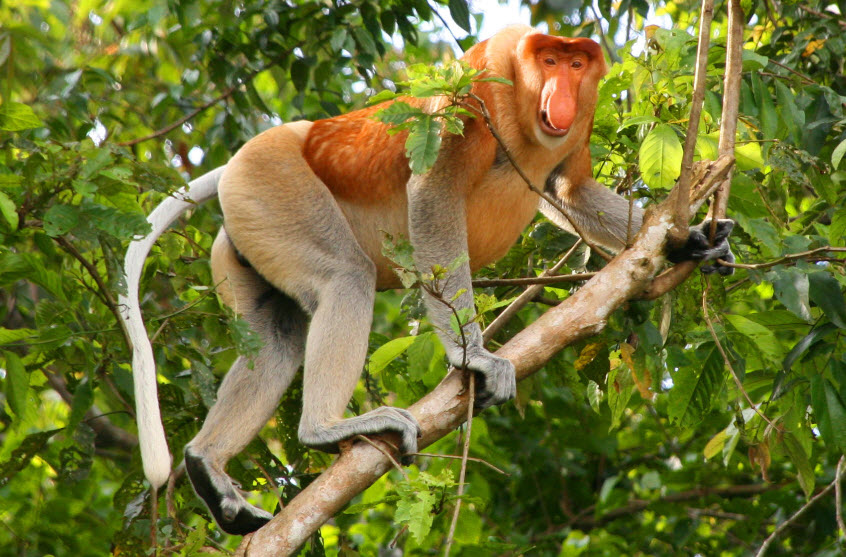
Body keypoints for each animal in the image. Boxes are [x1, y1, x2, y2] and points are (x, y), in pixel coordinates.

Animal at [120, 25, 734, 536]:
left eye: (578, 64)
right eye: (550, 59)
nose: (562, 86)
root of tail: (241, 162)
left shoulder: (580, 123)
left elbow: (571, 189)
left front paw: (690, 242)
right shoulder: (475, 92)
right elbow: (434, 197)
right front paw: (474, 356)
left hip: (248, 232)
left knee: (276, 335)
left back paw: (207, 466)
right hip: (273, 184)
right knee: (346, 278)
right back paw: (324, 428)